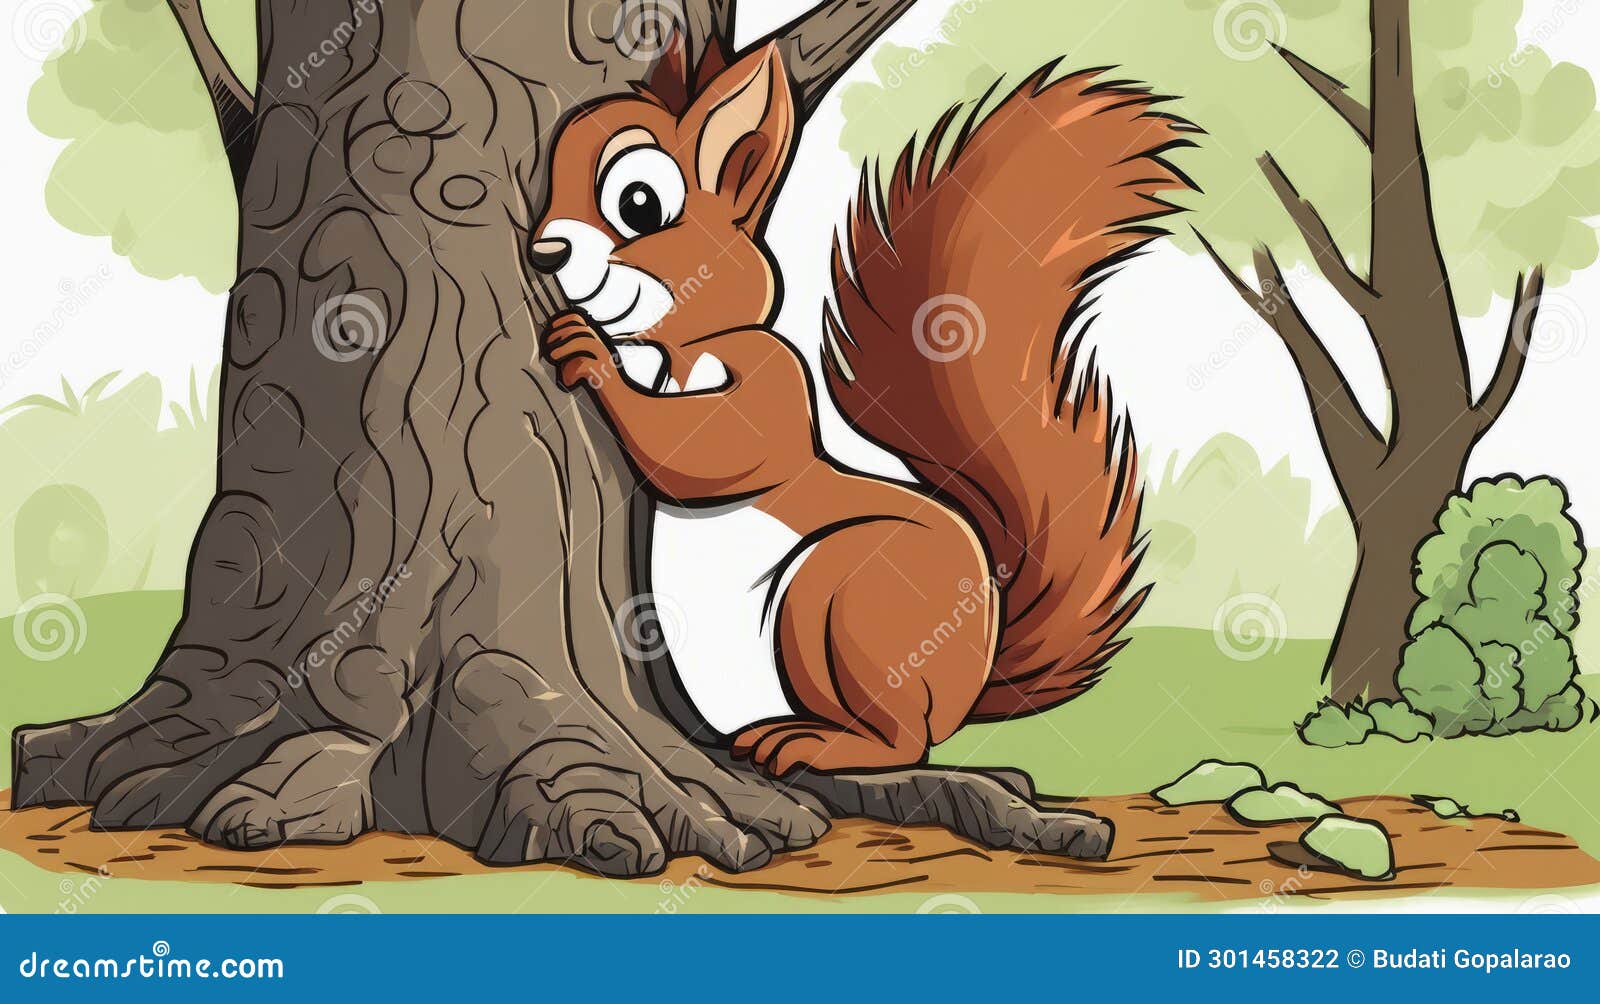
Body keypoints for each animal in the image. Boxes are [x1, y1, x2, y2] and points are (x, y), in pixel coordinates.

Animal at [529, 37, 1195, 776]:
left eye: (640, 203)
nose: (544, 250)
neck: (685, 346)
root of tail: (970, 685)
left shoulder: (771, 378)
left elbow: (712, 449)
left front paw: (588, 352)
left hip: (844, 598)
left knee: (904, 741)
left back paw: (816, 743)